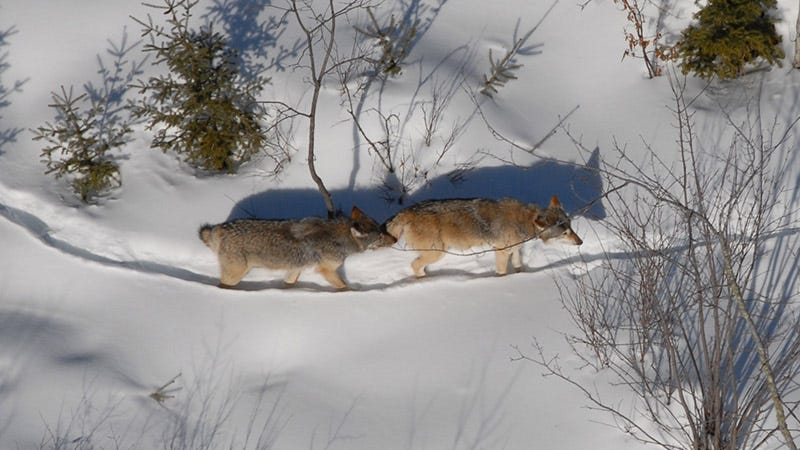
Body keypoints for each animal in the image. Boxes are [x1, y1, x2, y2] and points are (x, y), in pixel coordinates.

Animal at [199, 206, 396, 290]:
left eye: (382, 230)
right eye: (380, 236)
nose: (395, 239)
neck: (340, 239)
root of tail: (220, 227)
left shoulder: (294, 270)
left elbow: (289, 284)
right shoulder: (326, 270)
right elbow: (345, 287)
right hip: (235, 275)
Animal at [384, 195, 582, 277]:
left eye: (571, 228)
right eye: (564, 233)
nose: (580, 242)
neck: (524, 221)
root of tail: (407, 210)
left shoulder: (514, 249)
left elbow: (518, 264)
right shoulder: (500, 251)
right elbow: (502, 272)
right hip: (437, 253)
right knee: (415, 266)